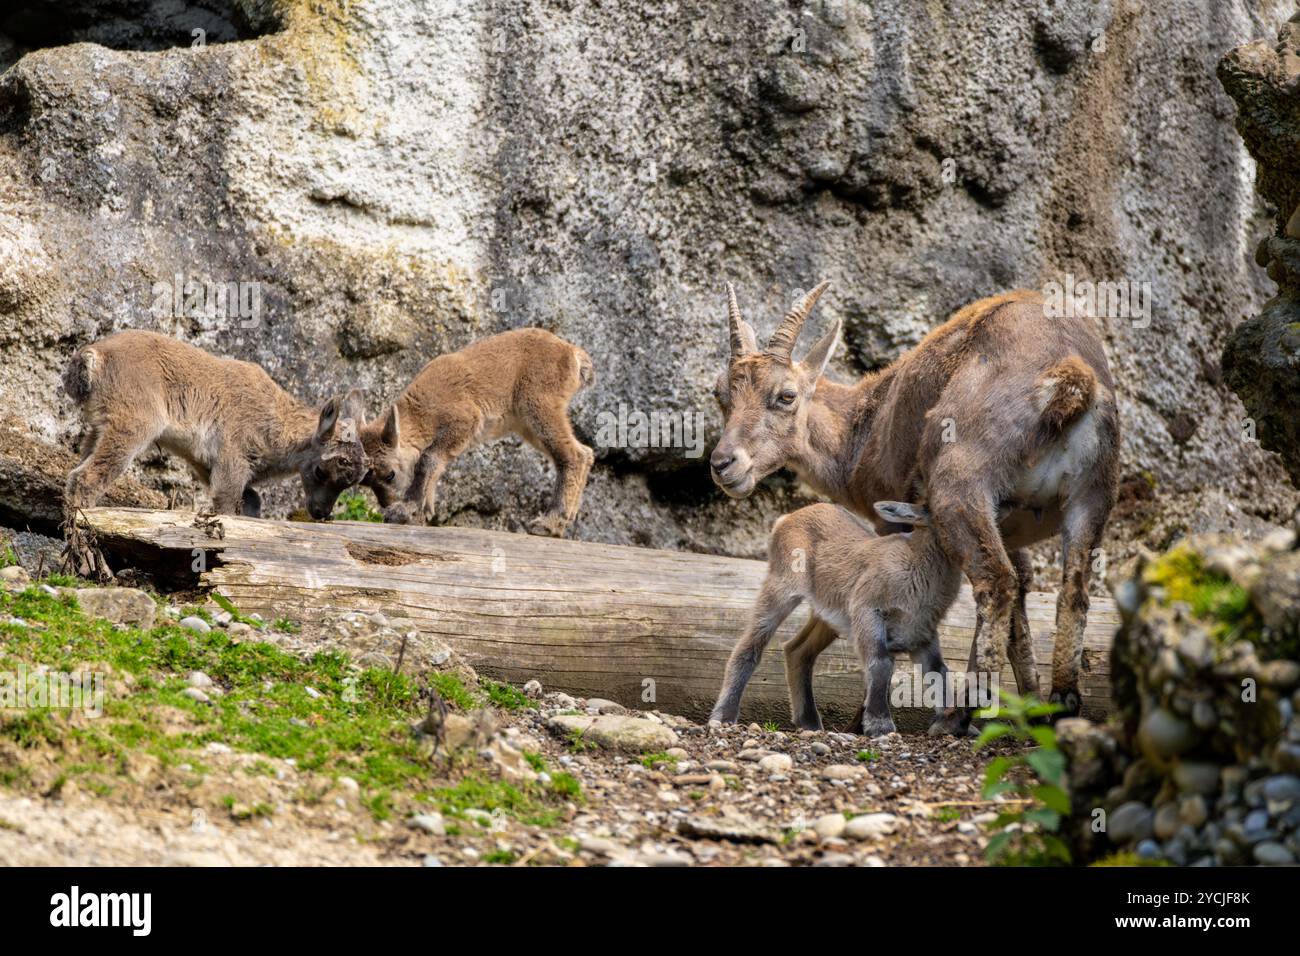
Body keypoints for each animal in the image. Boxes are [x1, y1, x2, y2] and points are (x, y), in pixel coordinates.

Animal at [62, 330, 369, 521]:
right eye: (320, 471)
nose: (320, 512)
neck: (275, 423)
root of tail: (93, 357)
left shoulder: (205, 464)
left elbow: (251, 501)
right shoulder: (233, 455)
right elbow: (227, 501)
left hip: (101, 426)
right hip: (134, 422)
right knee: (85, 477)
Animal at [304, 327, 595, 537]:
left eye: (389, 474)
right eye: (365, 480)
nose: (387, 505)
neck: (423, 407)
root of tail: (573, 353)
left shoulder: (465, 421)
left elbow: (428, 459)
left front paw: (406, 510)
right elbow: (433, 467)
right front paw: (421, 512)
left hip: (539, 408)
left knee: (574, 455)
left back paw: (549, 523)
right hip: (527, 423)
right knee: (585, 452)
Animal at [711, 501, 959, 736]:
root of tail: (787, 518)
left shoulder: (923, 636)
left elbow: (938, 671)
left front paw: (949, 724)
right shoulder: (868, 611)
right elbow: (881, 663)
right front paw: (880, 726)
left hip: (828, 616)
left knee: (797, 651)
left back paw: (809, 722)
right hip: (781, 587)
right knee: (750, 647)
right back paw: (723, 716)